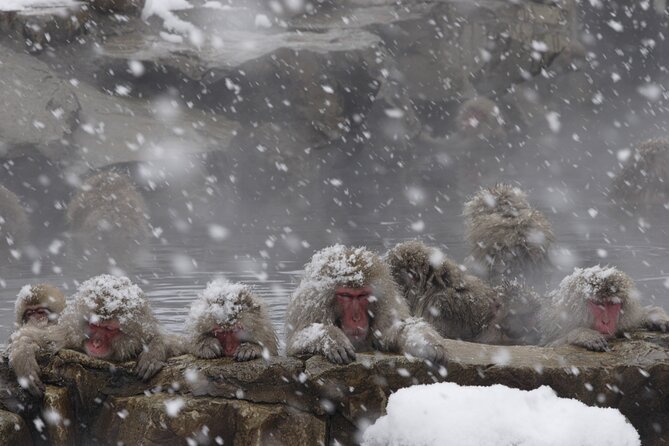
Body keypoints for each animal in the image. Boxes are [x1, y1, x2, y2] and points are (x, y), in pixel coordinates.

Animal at [7, 274, 173, 396]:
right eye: (94, 325)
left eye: (109, 329)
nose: (96, 343)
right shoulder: (66, 334)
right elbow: (31, 336)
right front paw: (24, 359)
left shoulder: (143, 334)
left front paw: (154, 352)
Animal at [285, 244, 449, 365]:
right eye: (345, 295)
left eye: (362, 295)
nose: (356, 318)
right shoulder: (313, 310)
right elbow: (297, 340)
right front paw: (332, 339)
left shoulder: (385, 312)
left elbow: (398, 327)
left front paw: (429, 344)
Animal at [539, 265, 669, 351]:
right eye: (598, 303)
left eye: (611, 304)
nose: (605, 321)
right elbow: (548, 347)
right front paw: (582, 334)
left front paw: (655, 316)